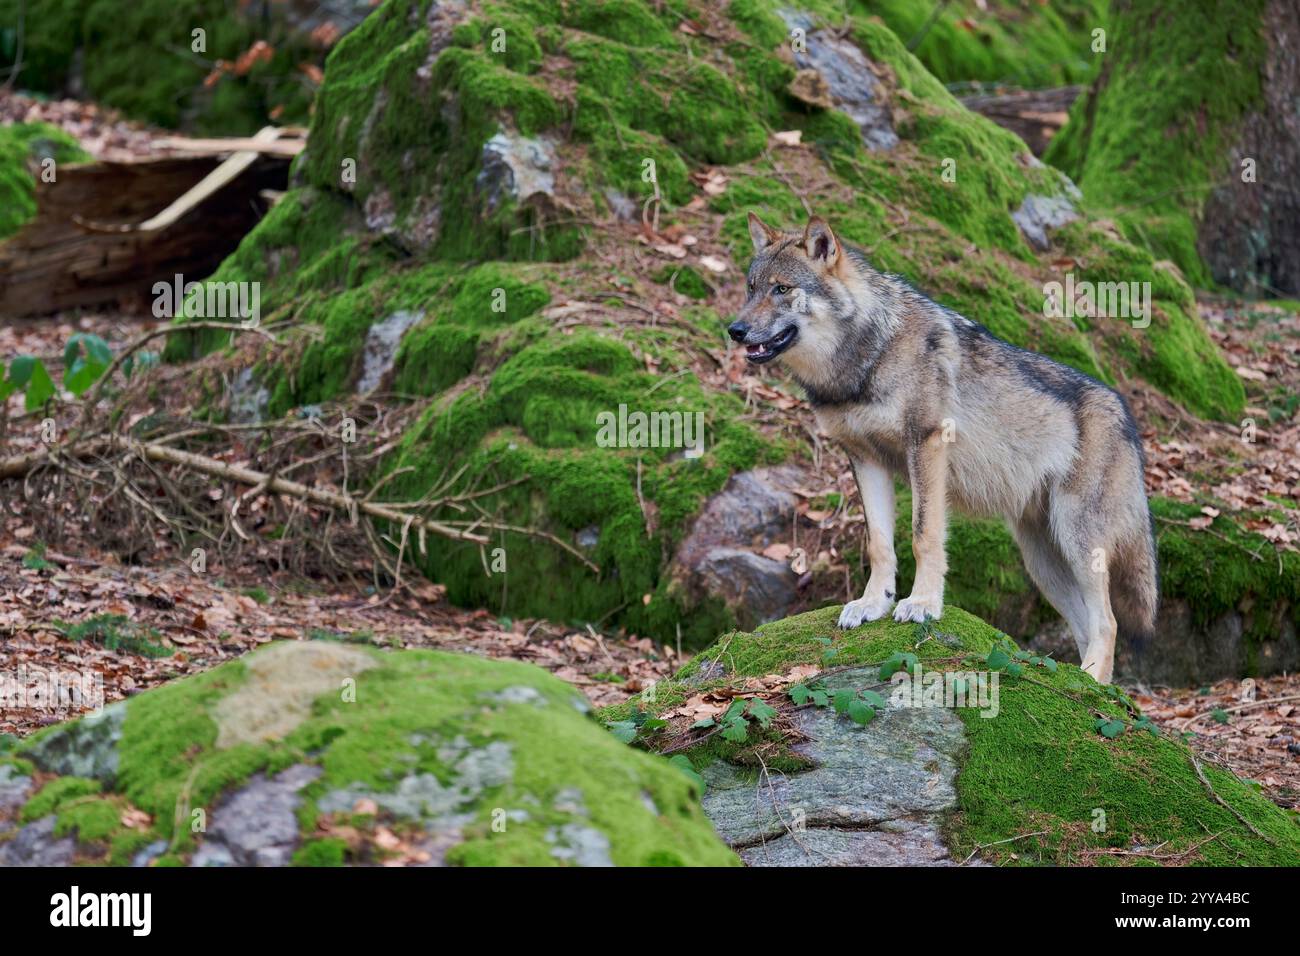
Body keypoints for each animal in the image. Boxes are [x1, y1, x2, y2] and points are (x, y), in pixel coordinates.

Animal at [730, 213, 1158, 683]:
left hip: (1078, 543)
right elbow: (879, 543)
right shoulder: (864, 458)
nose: (734, 330)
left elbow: (924, 535)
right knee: (1085, 625)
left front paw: (922, 604)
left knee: (1109, 622)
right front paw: (872, 605)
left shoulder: (927, 444)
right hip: (1043, 562)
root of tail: (1125, 415)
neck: (866, 356)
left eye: (782, 289)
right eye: (751, 287)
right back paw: (1075, 682)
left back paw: (1091, 684)